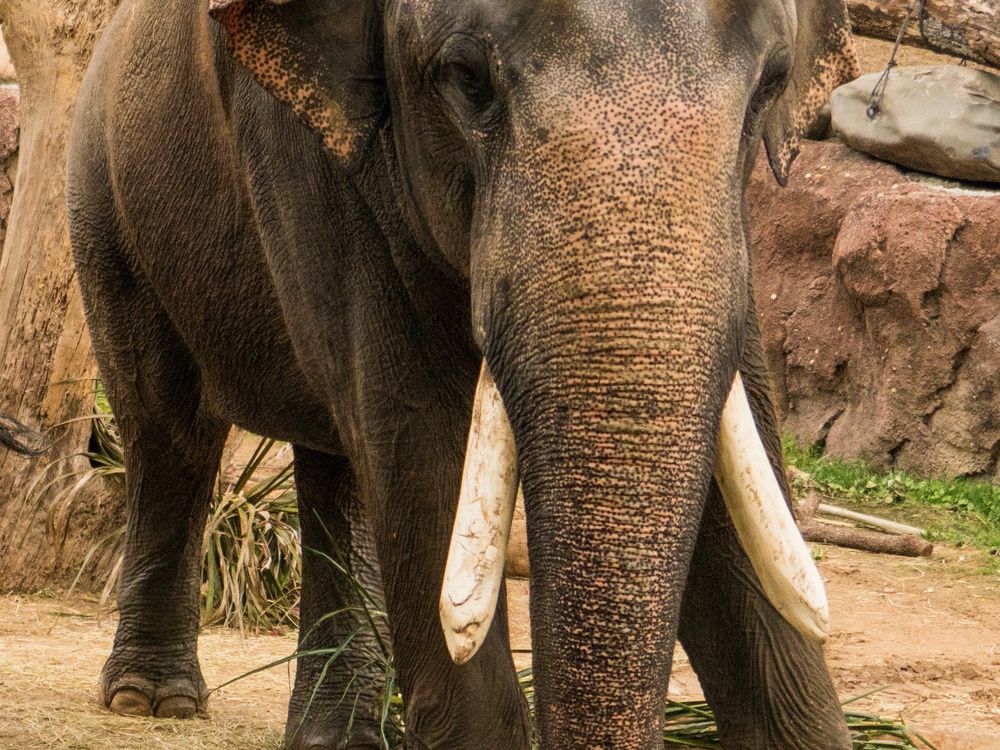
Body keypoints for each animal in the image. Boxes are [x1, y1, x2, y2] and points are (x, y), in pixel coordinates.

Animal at [55, 0, 861, 747]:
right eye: (468, 79)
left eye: (771, 86)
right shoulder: (314, 161)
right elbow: (424, 454)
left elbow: (743, 497)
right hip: (104, 202)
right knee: (170, 430)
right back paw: (151, 700)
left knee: (335, 470)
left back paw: (338, 735)